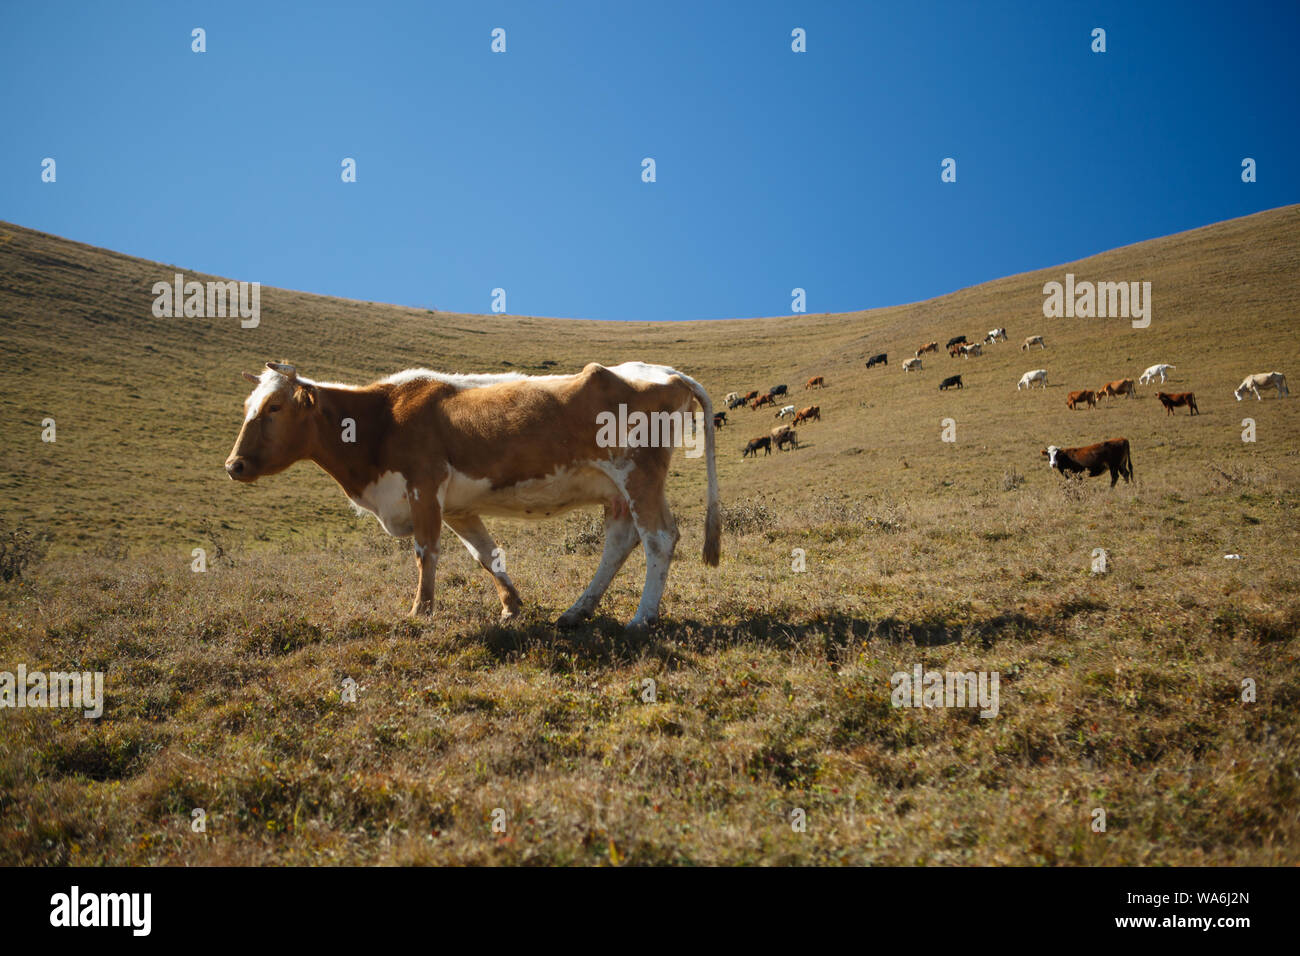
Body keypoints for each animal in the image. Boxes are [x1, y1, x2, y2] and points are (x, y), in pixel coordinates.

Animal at [225, 361, 720, 631]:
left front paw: (419, 612)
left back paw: (642, 618)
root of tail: (668, 372)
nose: (234, 465)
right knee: (620, 541)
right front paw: (511, 607)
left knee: (658, 537)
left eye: (274, 407)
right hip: (617, 489)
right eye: (247, 407)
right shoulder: (458, 507)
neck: (380, 419)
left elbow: (425, 552)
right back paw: (576, 612)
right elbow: (486, 554)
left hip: (639, 474)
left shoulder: (423, 487)